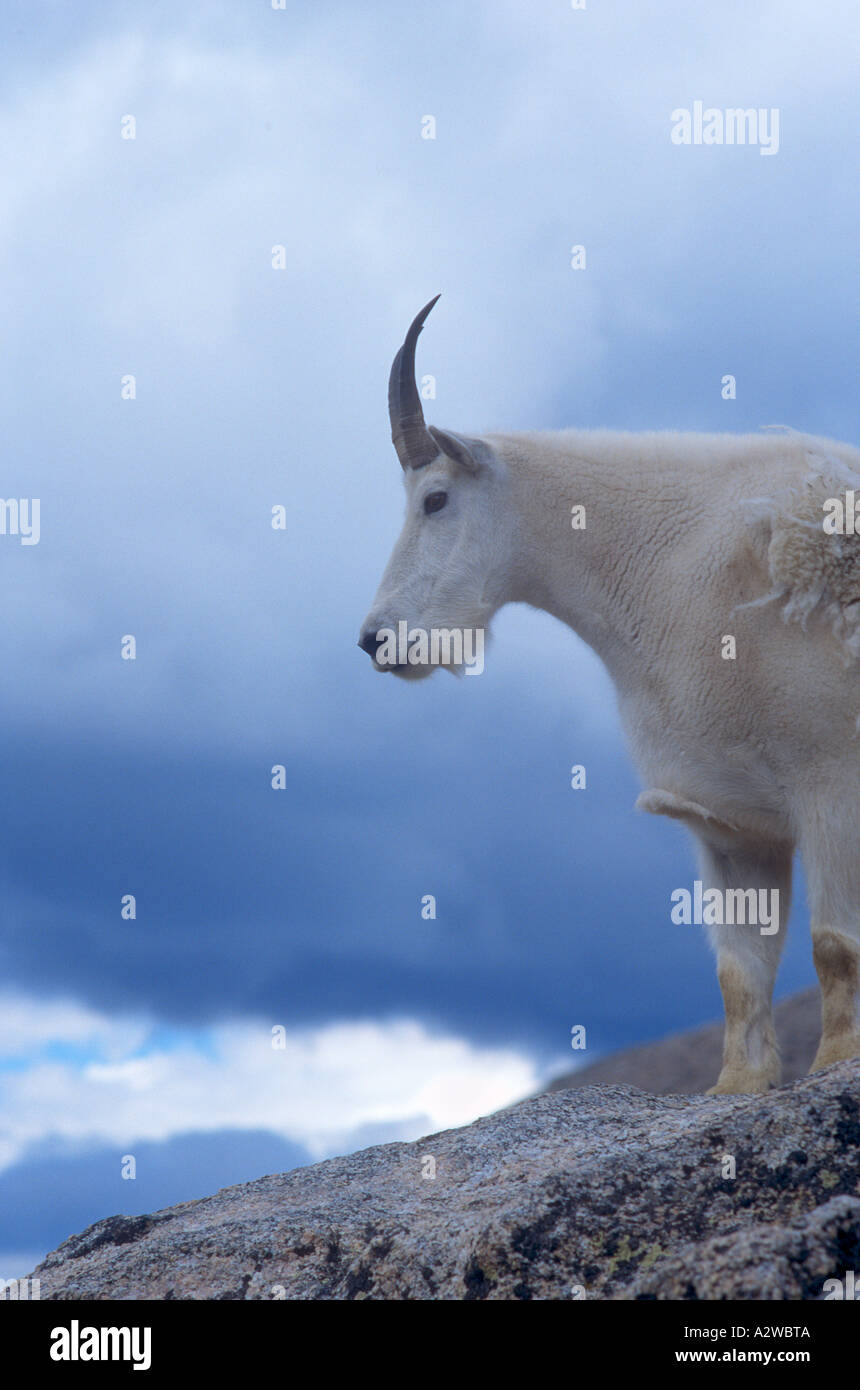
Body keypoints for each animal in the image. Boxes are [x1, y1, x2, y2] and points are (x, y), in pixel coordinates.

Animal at [359, 297, 860, 1095]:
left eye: (435, 499)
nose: (376, 639)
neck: (675, 569)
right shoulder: (730, 826)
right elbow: (739, 973)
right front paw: (737, 1087)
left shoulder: (830, 783)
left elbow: (834, 942)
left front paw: (837, 1063)